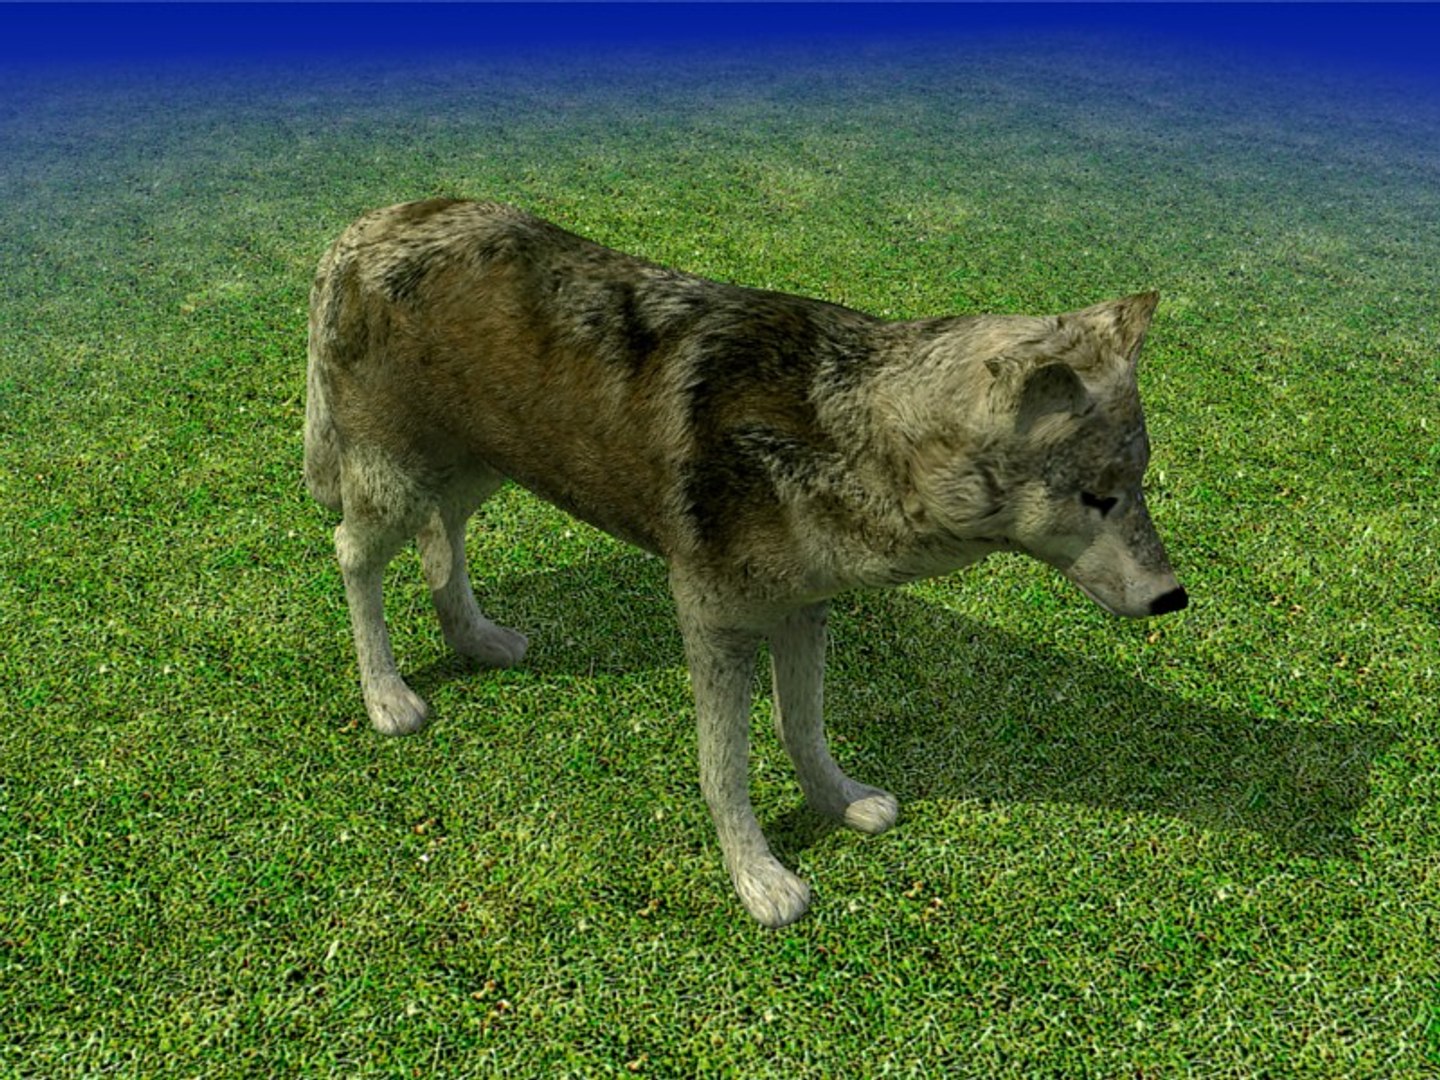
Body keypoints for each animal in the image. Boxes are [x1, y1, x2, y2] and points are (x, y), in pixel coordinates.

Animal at [304, 199, 1188, 927]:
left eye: (1138, 484)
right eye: (1098, 498)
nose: (1173, 598)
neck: (849, 429)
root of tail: (365, 225)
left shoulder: (802, 612)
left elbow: (804, 728)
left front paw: (840, 804)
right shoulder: (714, 621)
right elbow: (724, 768)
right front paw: (760, 881)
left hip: (479, 465)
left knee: (442, 538)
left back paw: (476, 640)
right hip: (397, 480)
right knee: (352, 553)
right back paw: (388, 697)